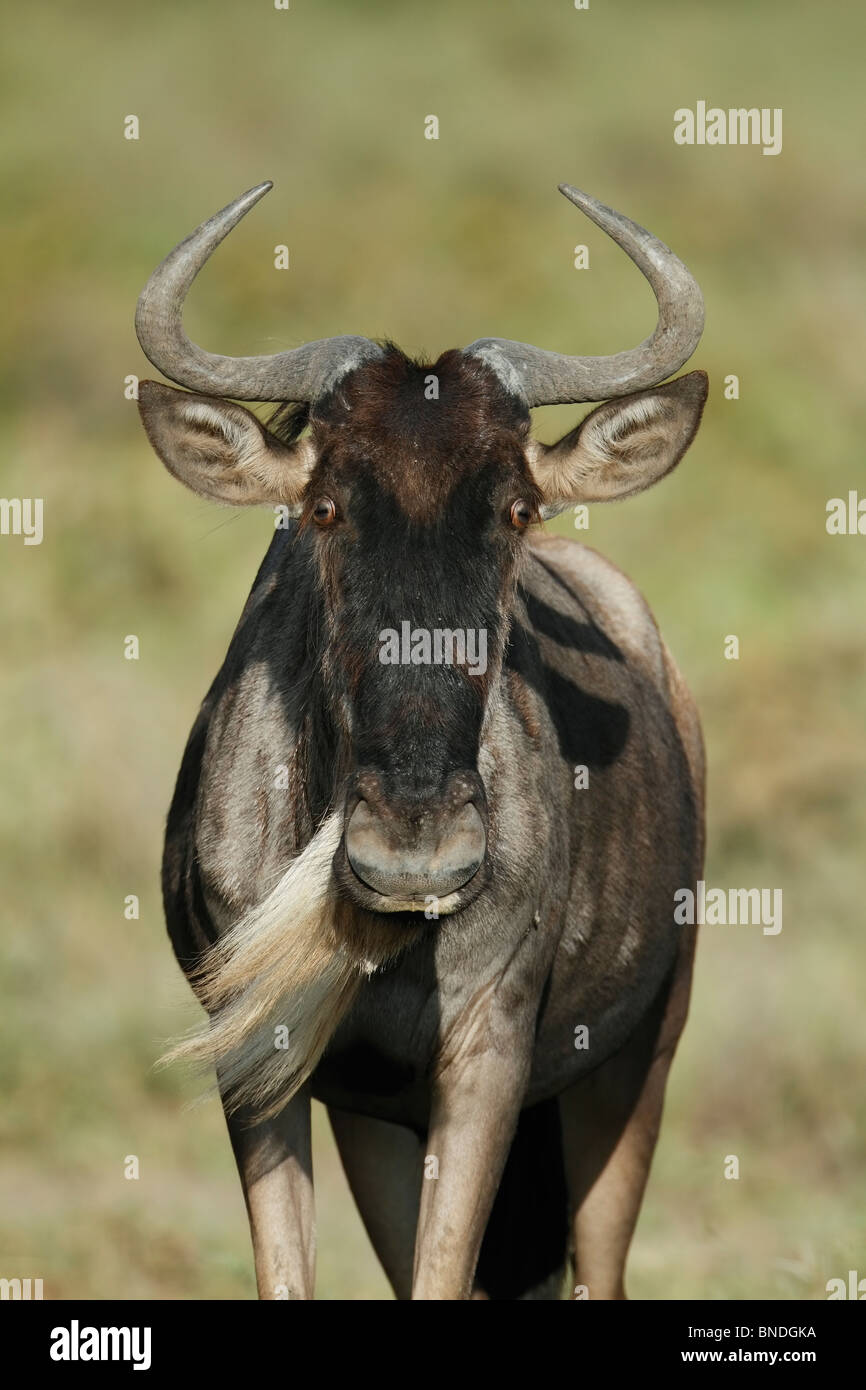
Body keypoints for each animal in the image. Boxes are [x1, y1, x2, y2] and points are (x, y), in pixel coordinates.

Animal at [134, 180, 707, 1301]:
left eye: (518, 507)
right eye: (321, 506)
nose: (415, 854)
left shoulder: (489, 1056)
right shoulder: (259, 1056)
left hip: (636, 1063)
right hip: (379, 1123)